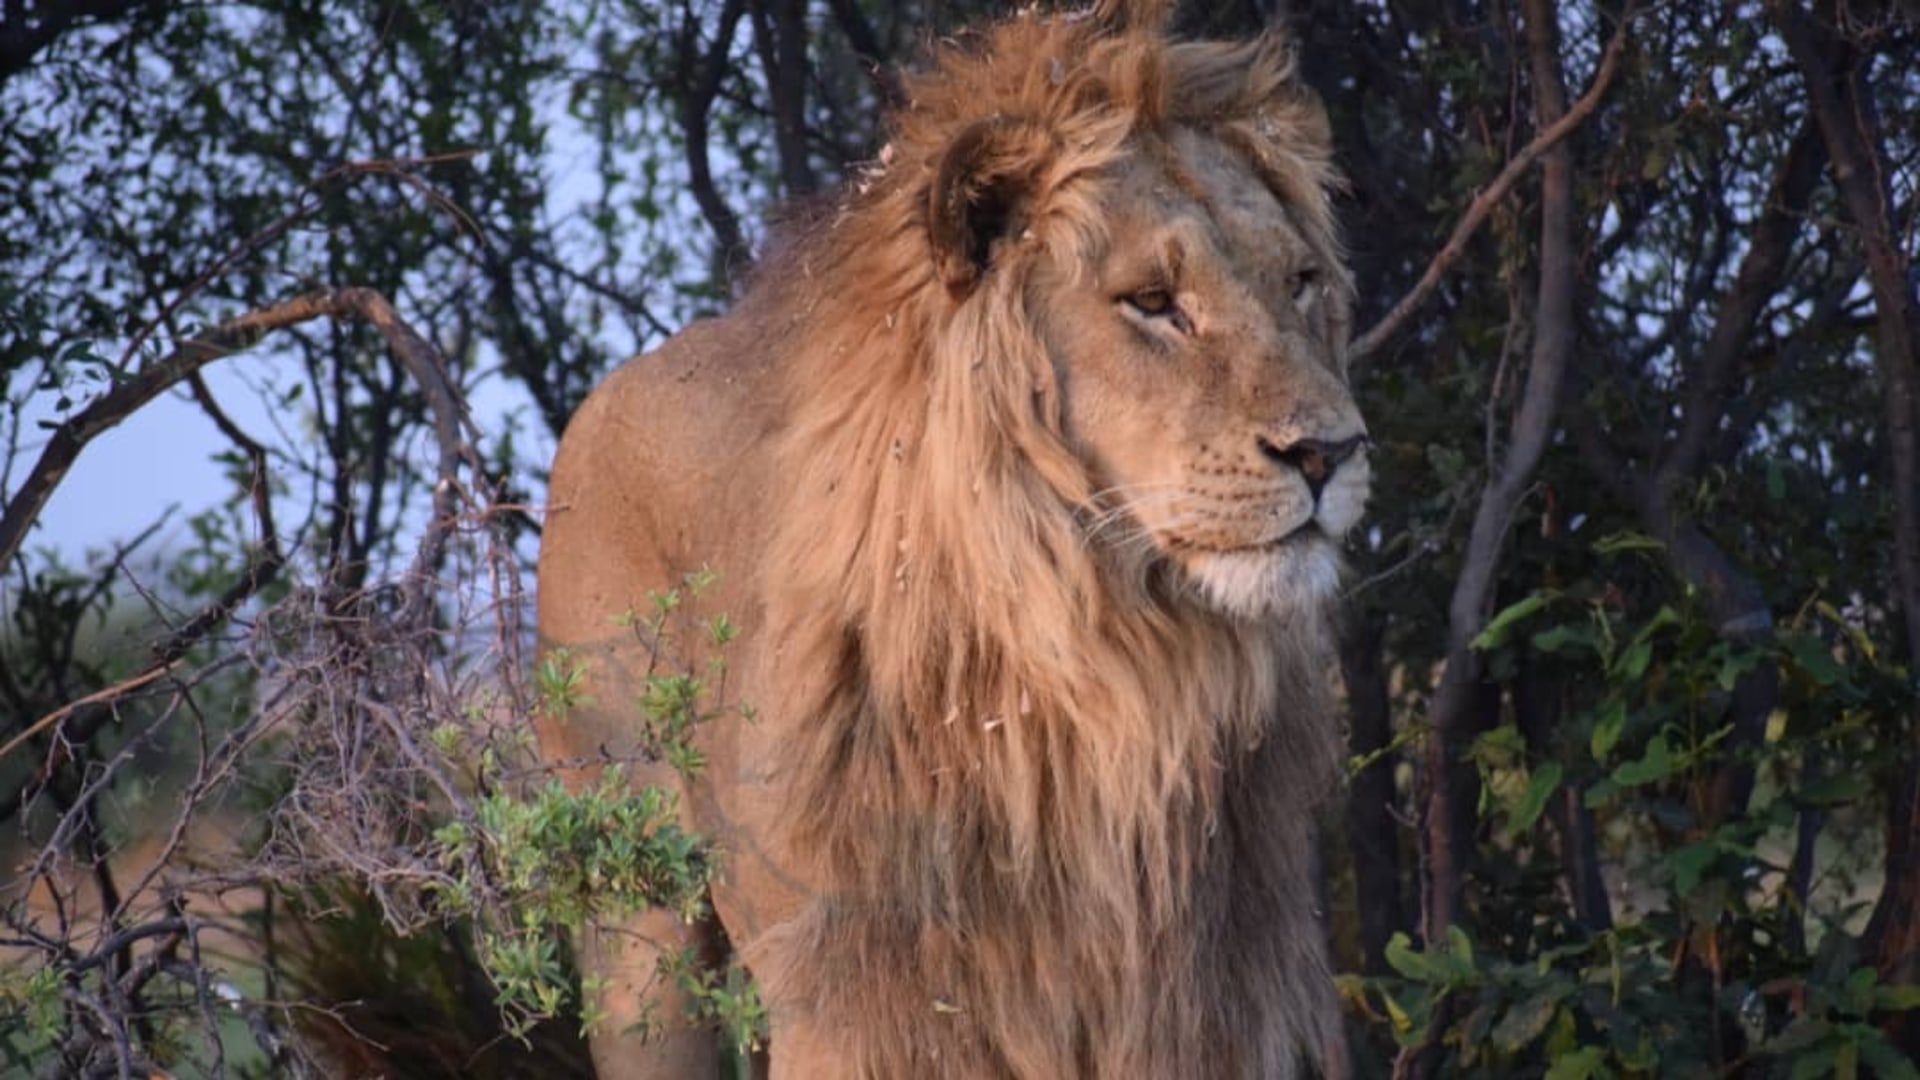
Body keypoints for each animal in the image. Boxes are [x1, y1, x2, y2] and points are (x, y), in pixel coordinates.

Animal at [534, 2, 1370, 1077]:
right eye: (1152, 301)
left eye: (1300, 282)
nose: (1330, 452)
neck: (1107, 670)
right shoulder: (857, 1004)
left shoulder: (1194, 995)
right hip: (637, 929)